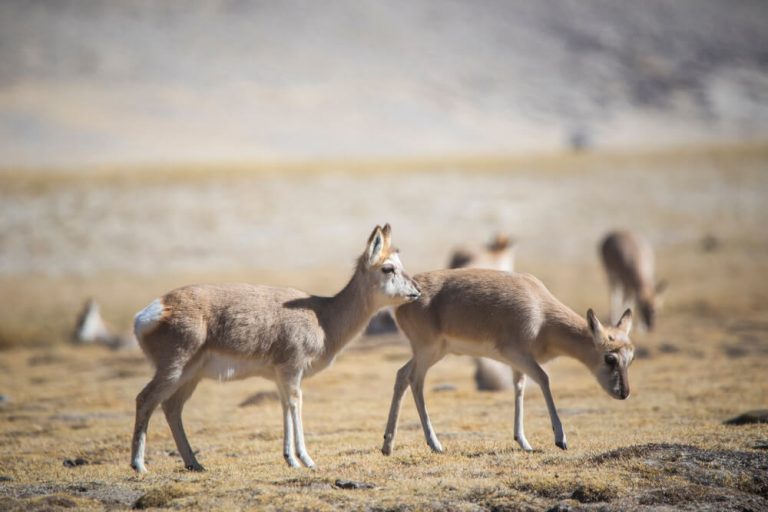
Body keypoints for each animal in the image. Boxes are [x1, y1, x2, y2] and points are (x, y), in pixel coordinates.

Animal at [130, 224, 420, 473]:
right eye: (388, 268)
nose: (416, 291)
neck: (323, 316)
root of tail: (155, 309)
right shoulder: (292, 371)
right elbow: (296, 404)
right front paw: (307, 460)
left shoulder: (280, 377)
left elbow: (284, 407)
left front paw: (290, 459)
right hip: (174, 370)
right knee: (145, 399)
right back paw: (139, 465)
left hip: (190, 377)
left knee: (171, 407)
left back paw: (195, 463)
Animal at [381, 268, 635, 456]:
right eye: (610, 357)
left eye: (630, 358)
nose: (624, 393)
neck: (541, 311)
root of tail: (403, 301)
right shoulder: (518, 356)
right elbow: (544, 379)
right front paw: (560, 439)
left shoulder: (517, 363)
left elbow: (519, 388)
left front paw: (523, 442)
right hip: (428, 352)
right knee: (415, 381)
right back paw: (435, 444)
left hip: (432, 352)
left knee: (401, 375)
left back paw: (387, 445)